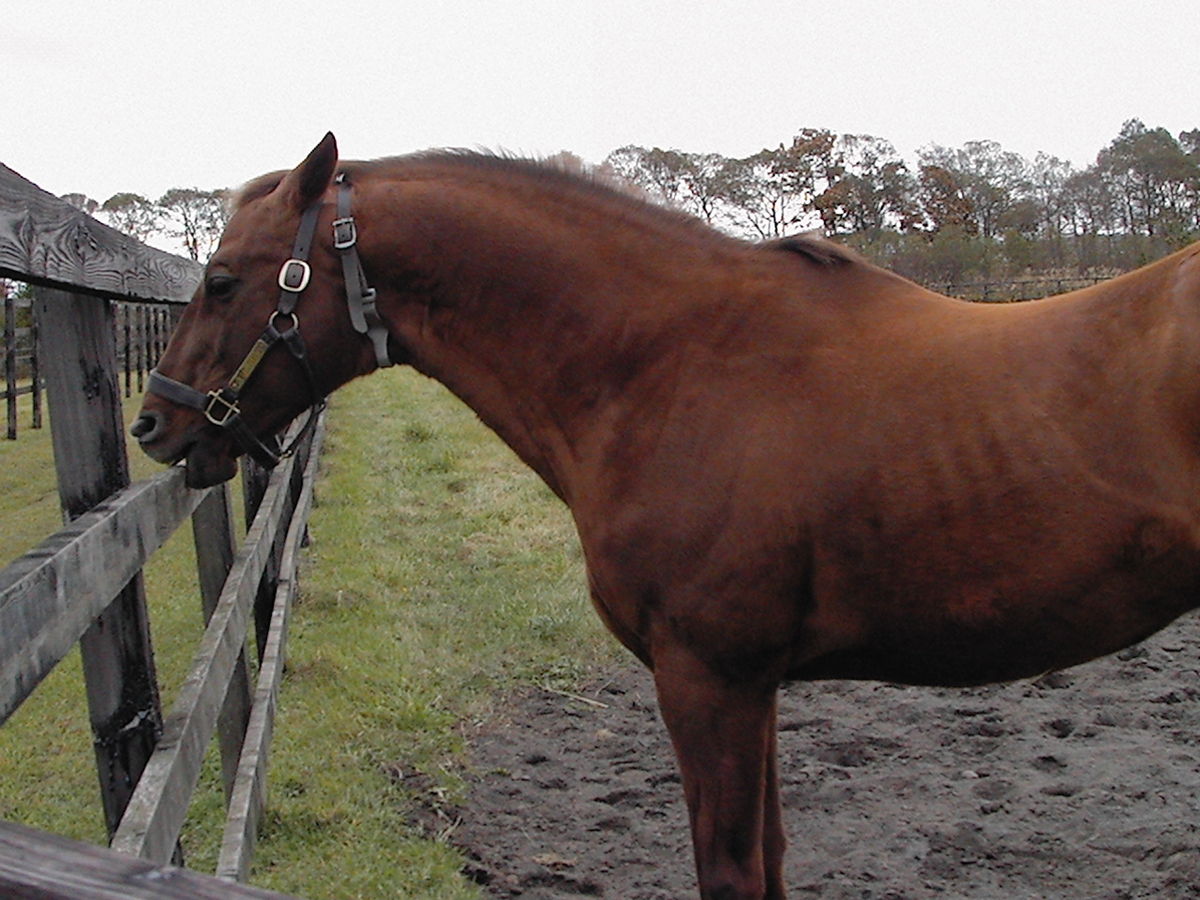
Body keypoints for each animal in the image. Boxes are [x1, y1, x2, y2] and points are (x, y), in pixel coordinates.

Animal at [132, 133, 1200, 900]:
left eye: (222, 279)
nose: (155, 423)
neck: (670, 366)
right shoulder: (750, 683)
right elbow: (769, 858)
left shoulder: (709, 677)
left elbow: (729, 871)